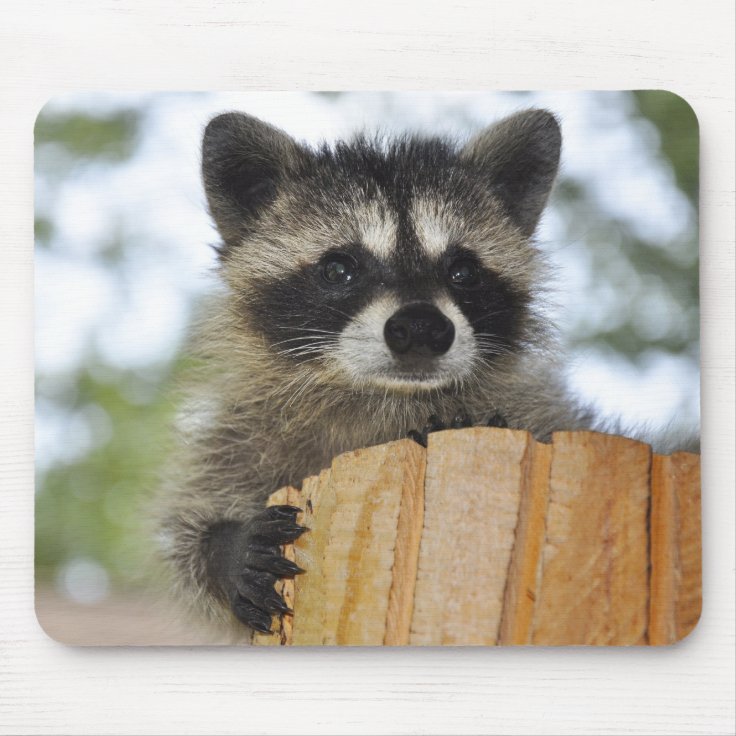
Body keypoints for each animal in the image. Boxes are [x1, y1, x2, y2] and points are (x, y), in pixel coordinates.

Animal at [157, 108, 604, 636]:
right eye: (339, 269)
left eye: (464, 272)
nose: (422, 328)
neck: (384, 399)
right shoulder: (241, 433)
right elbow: (185, 531)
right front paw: (222, 547)